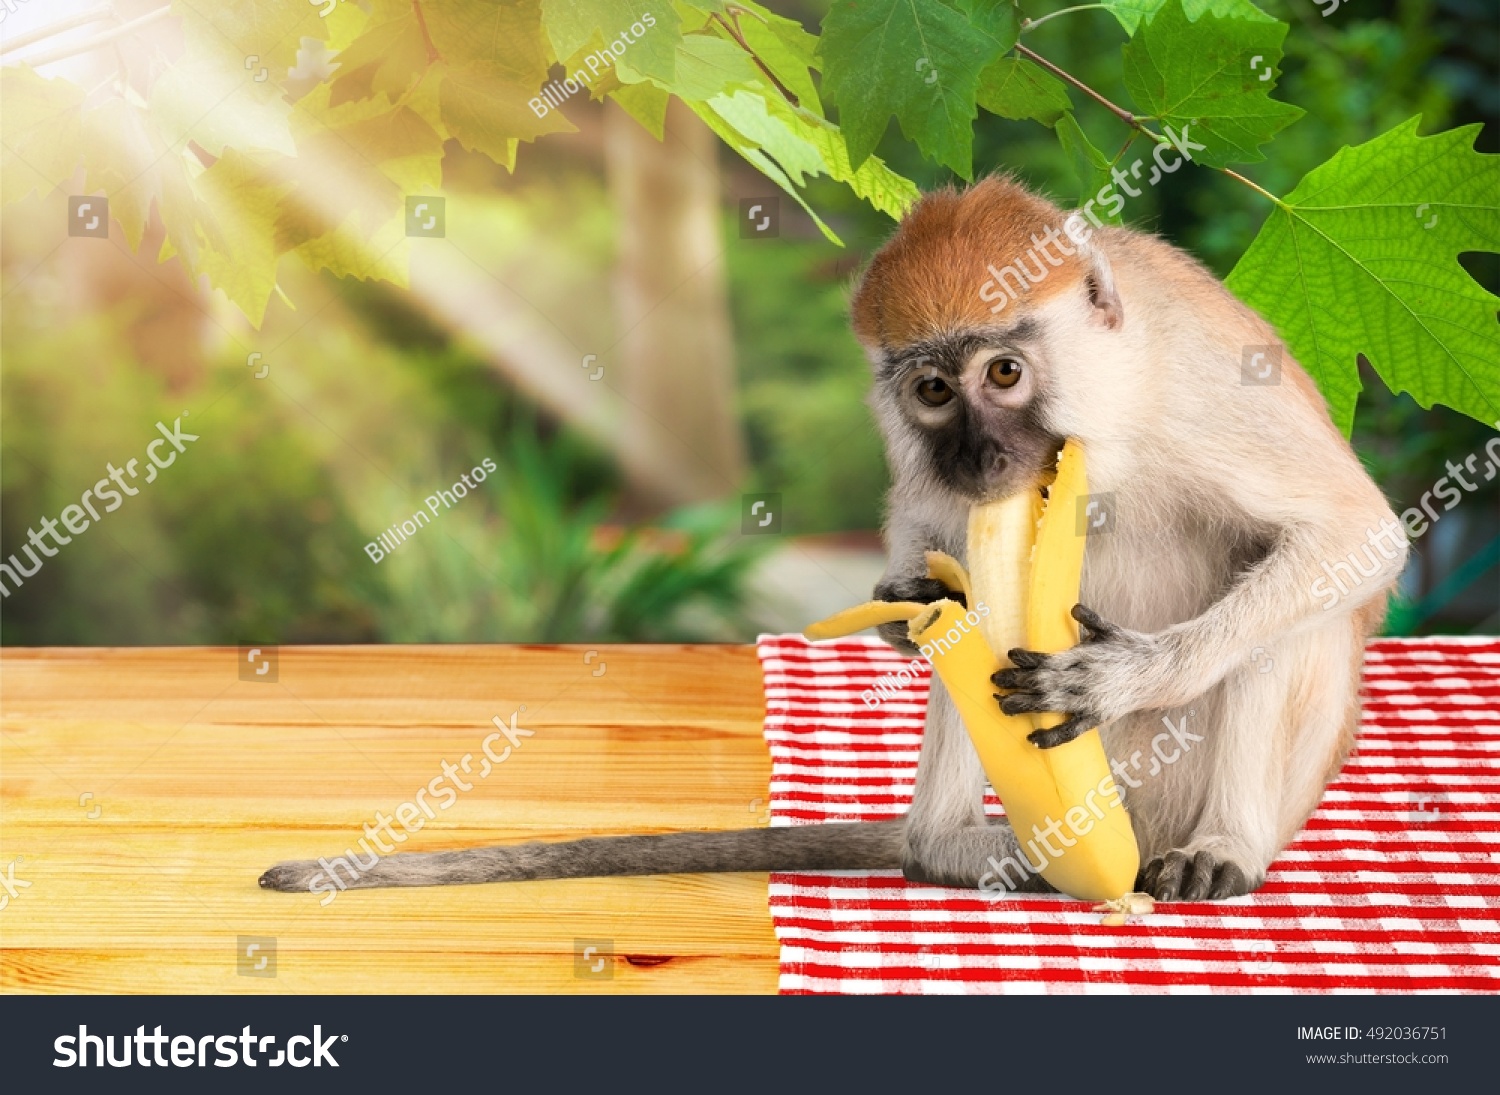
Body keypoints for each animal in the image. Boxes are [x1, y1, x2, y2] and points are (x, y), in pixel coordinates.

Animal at [260, 177, 1405, 903]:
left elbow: (1355, 537)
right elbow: (930, 551)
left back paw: (1222, 847)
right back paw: (945, 851)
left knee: (1292, 605)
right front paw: (905, 608)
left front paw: (1119, 677)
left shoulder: (1203, 387)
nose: (981, 455)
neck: (1111, 411)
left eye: (1004, 372)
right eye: (933, 391)